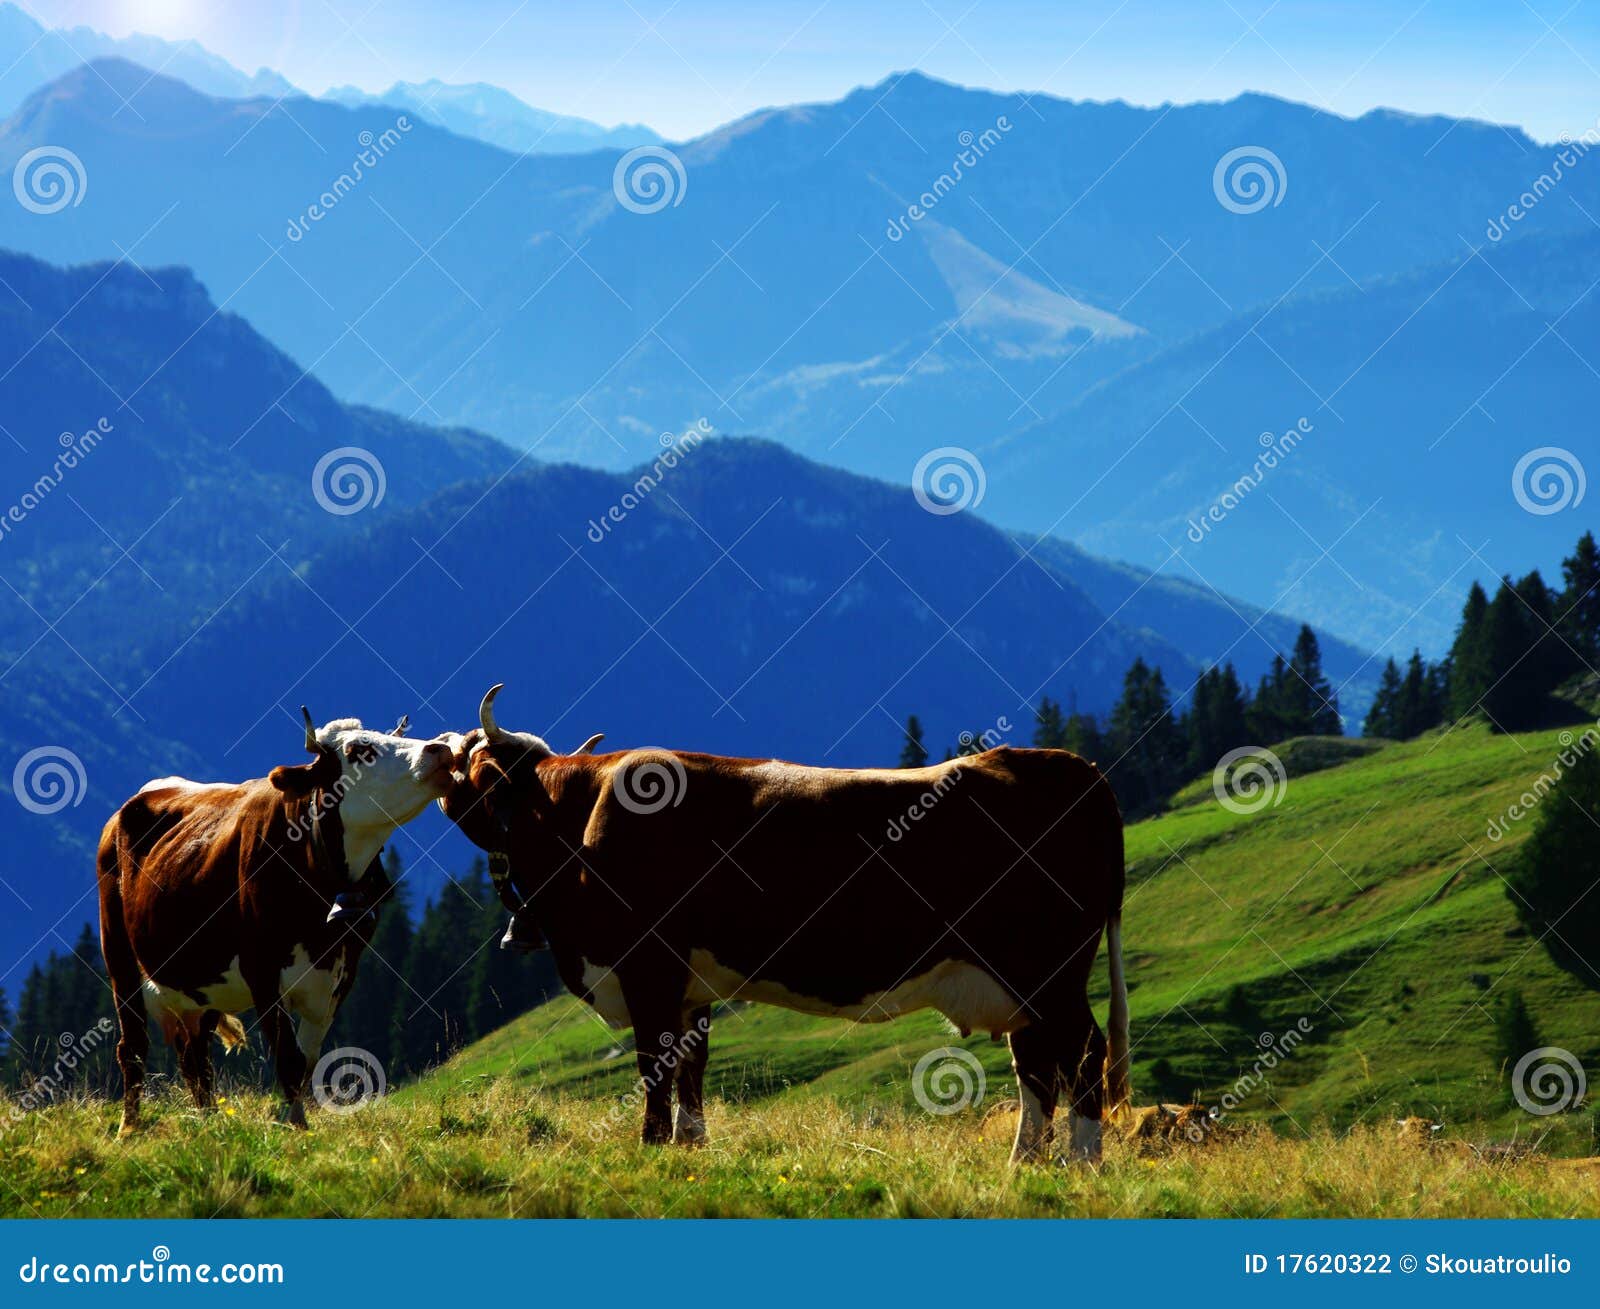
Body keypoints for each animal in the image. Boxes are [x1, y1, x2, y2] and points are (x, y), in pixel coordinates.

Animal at [97, 709, 454, 1135]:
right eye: (358, 751)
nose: (440, 749)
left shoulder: (342, 975)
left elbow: (307, 1060)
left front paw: (296, 1120)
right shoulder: (262, 971)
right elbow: (287, 1057)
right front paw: (297, 1127)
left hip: (201, 984)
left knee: (194, 1054)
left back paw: (209, 1122)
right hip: (119, 957)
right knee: (132, 1046)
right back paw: (128, 1127)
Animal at [440, 684, 1130, 1165]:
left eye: (468, 760)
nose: (438, 762)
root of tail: (1077, 768)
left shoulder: (648, 969)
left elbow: (654, 1065)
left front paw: (651, 1146)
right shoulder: (690, 987)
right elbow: (691, 1067)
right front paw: (690, 1148)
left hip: (1049, 971)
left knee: (1083, 1053)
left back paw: (1082, 1164)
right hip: (1023, 985)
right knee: (1038, 1065)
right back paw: (1024, 1166)